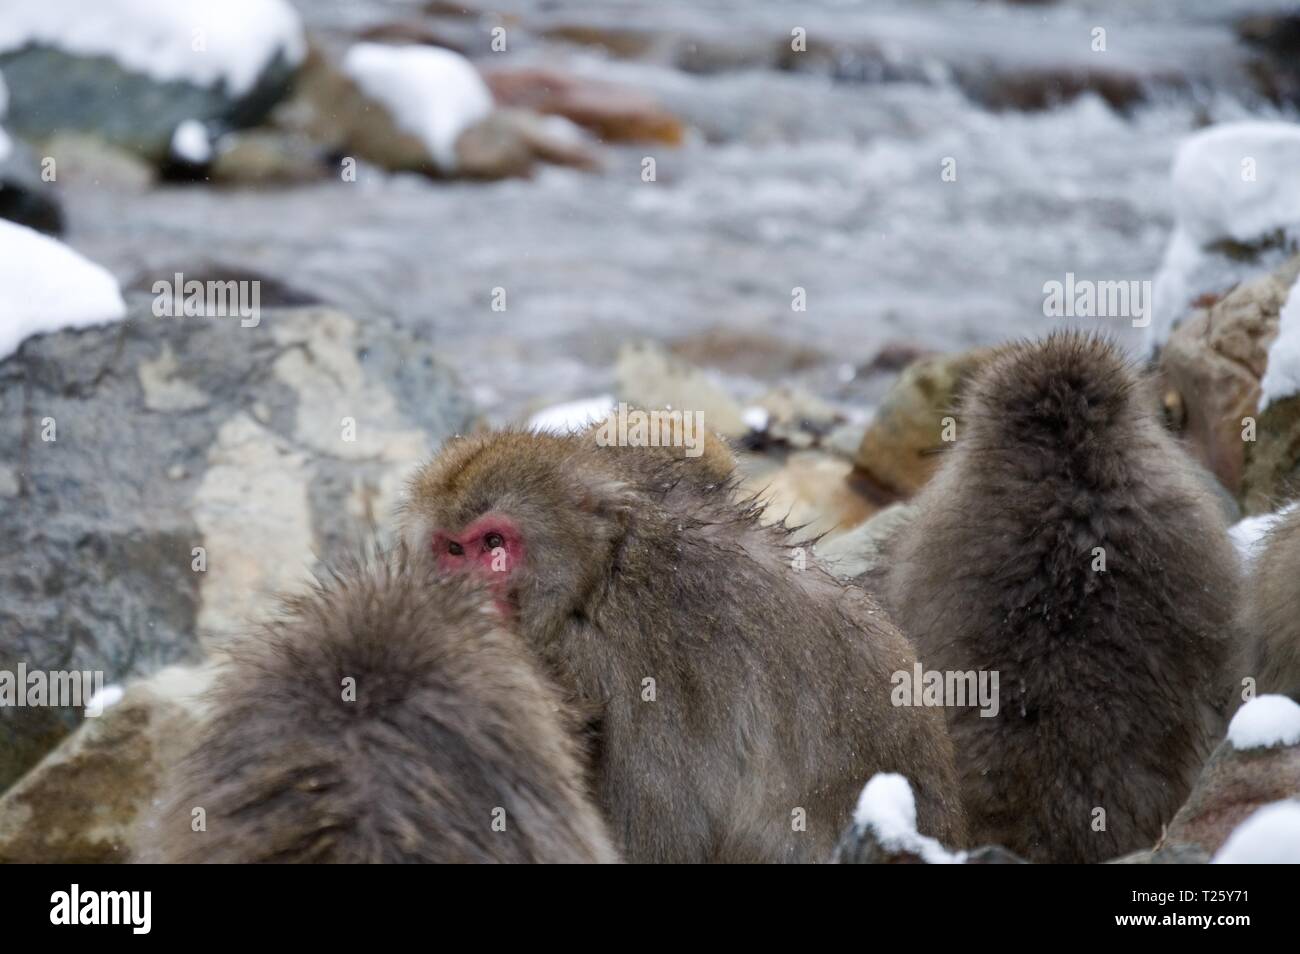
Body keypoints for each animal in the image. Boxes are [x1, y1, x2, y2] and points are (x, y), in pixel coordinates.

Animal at [403, 430, 967, 863]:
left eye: (494, 544)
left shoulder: (622, 668)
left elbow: (662, 837)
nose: (463, 591)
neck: (598, 579)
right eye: (452, 550)